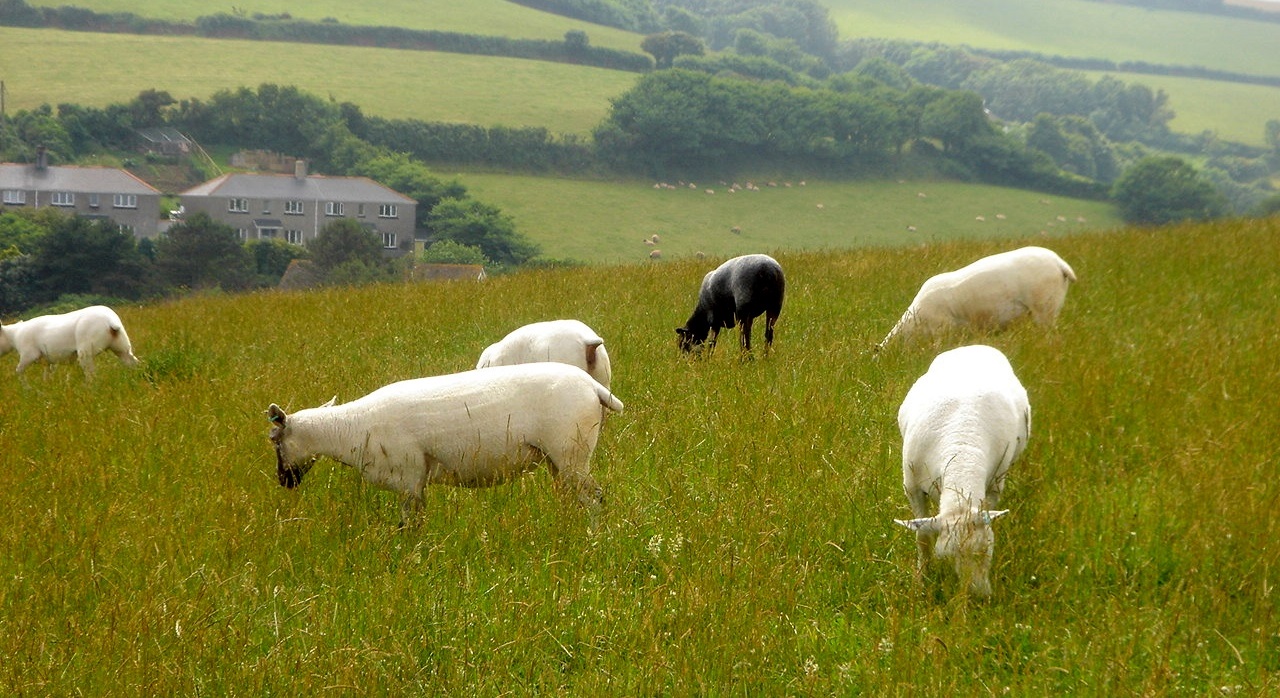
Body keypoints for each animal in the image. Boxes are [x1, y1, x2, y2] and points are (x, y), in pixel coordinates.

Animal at [0, 305, 139, 377]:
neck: (14, 335)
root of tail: (111, 321)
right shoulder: (47, 362)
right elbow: (47, 376)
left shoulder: (28, 355)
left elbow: (19, 371)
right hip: (121, 345)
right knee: (132, 361)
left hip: (86, 350)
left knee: (90, 373)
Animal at [267, 362, 623, 525]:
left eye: (274, 440)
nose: (284, 481)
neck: (348, 429)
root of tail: (593, 386)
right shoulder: (416, 482)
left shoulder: (408, 478)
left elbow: (408, 525)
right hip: (559, 459)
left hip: (572, 451)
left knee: (595, 498)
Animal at [894, 344, 1030, 598]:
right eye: (947, 557)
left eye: (989, 549)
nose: (980, 596)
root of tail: (976, 345)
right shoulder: (912, 487)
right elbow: (923, 537)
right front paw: (922, 580)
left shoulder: (995, 486)